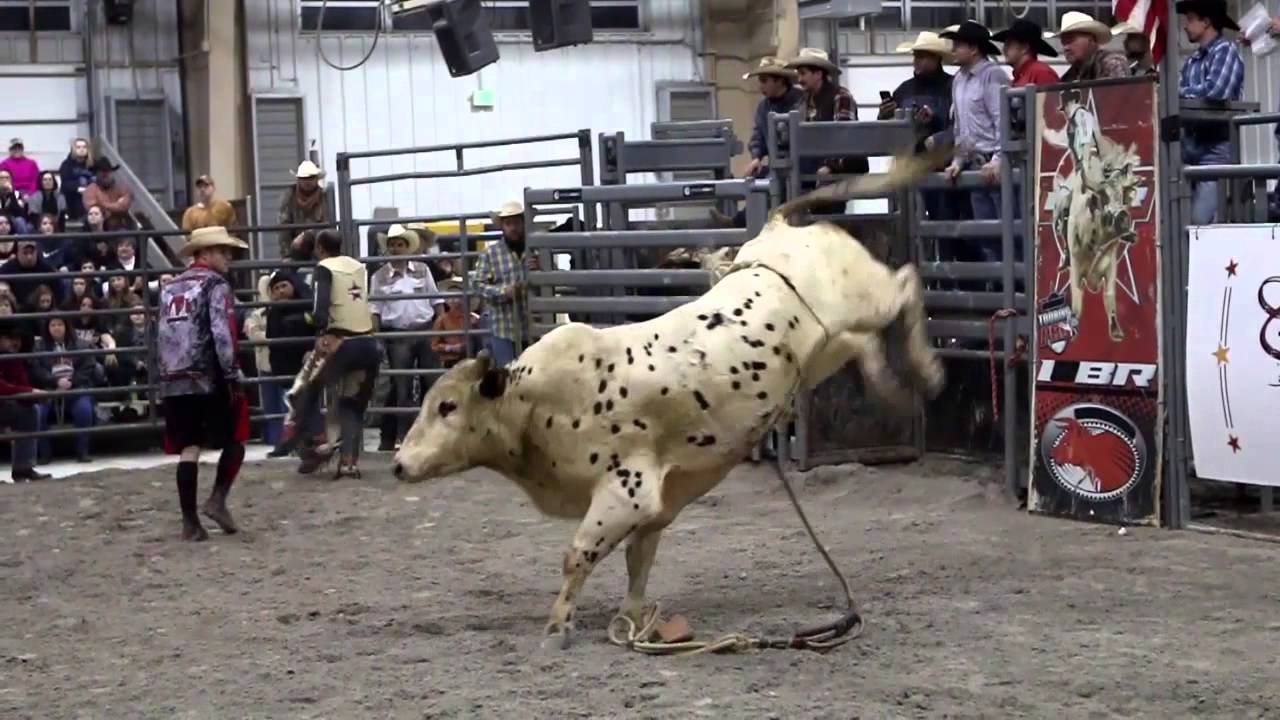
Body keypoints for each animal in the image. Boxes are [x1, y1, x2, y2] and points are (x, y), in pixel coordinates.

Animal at [391, 149, 948, 650]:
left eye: (447, 406)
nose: (398, 464)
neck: (536, 402)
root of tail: (777, 227)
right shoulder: (656, 504)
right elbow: (639, 562)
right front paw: (633, 622)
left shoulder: (625, 490)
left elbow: (579, 554)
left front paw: (557, 627)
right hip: (828, 347)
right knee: (867, 342)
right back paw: (891, 383)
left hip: (867, 296)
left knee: (906, 282)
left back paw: (929, 369)